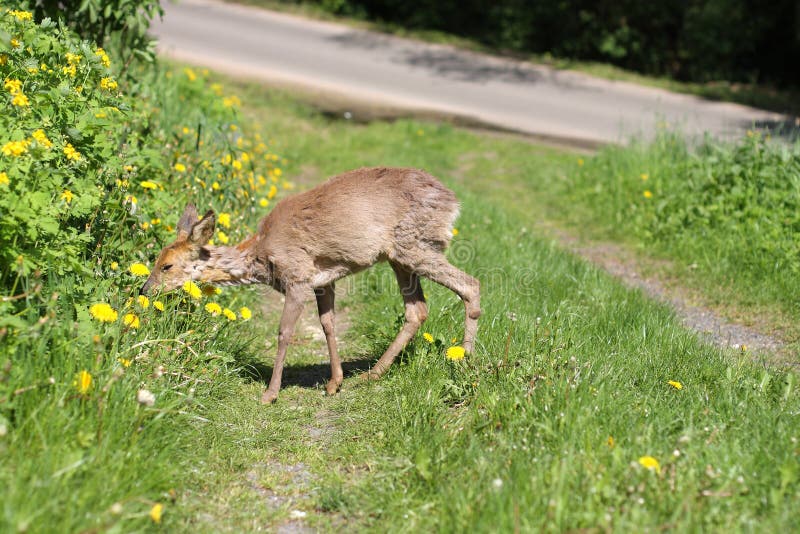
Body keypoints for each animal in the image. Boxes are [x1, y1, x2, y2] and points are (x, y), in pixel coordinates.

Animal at [140, 167, 480, 404]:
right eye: (156, 259)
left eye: (167, 266)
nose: (144, 290)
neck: (261, 254)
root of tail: (453, 202)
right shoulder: (322, 282)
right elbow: (327, 324)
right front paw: (334, 383)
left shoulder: (298, 277)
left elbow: (284, 333)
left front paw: (270, 394)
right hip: (399, 256)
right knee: (417, 310)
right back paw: (372, 374)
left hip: (416, 246)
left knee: (470, 284)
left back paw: (464, 361)